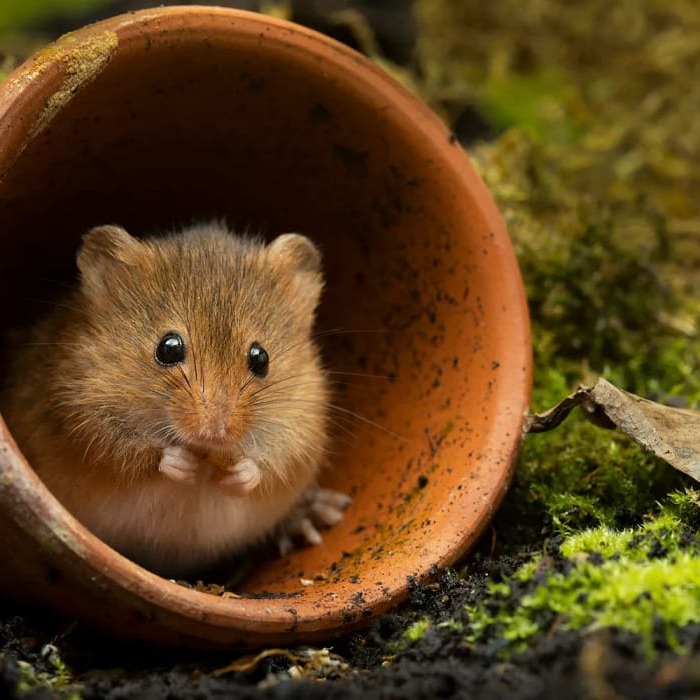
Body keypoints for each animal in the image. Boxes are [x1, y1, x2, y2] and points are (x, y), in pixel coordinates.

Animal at [0, 222, 350, 576]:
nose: (214, 434)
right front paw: (178, 461)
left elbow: (271, 463)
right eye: (168, 348)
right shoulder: (82, 417)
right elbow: (135, 455)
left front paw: (242, 473)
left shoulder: (303, 427)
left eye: (261, 358)